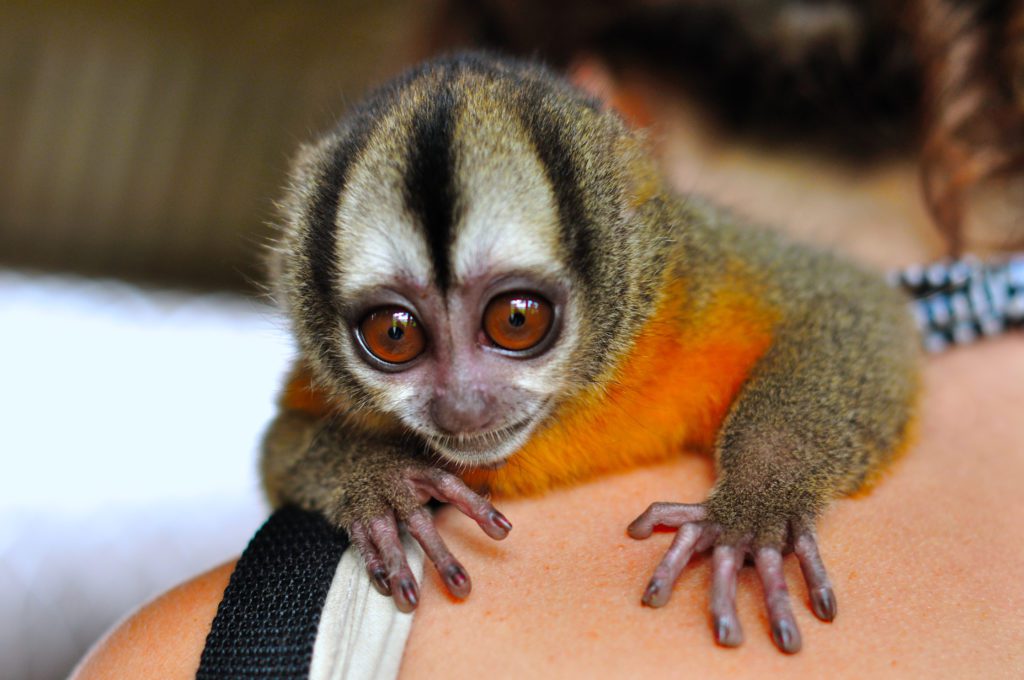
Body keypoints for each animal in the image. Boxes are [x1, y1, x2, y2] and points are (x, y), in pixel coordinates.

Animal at [260, 52, 920, 655]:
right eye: (395, 334)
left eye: (516, 321)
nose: (462, 408)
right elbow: (278, 448)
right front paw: (381, 480)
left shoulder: (685, 277)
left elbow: (850, 302)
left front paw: (752, 510)